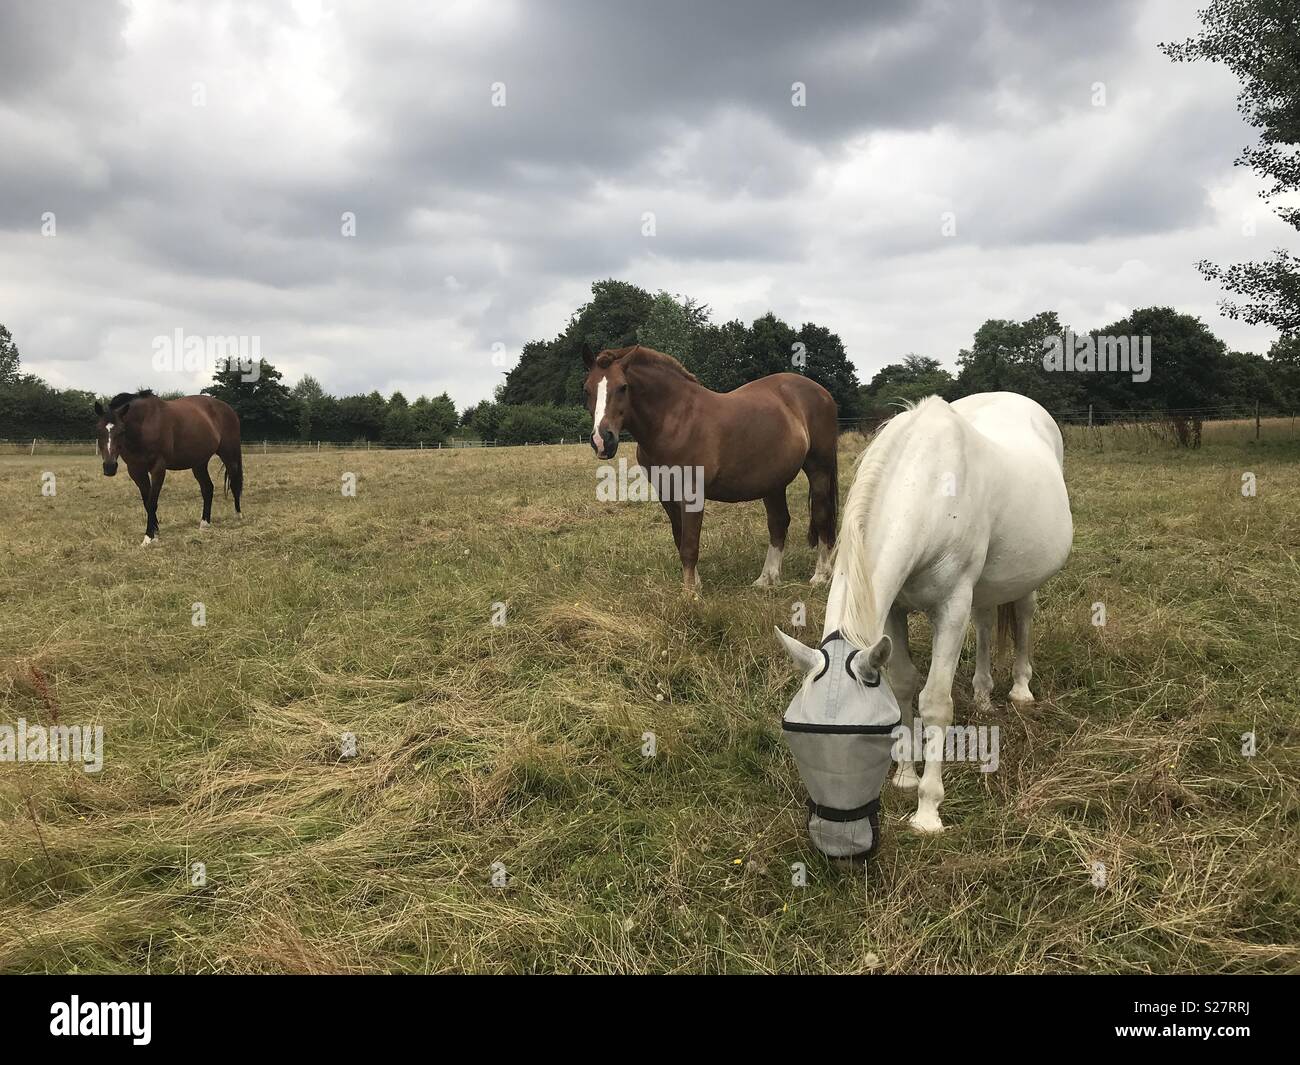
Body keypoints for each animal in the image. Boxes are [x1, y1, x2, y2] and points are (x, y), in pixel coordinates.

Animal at [94, 390, 244, 545]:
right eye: (98, 430)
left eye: (122, 431)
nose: (109, 467)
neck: (145, 424)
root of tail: (228, 409)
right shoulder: (136, 470)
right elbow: (146, 502)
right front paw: (155, 532)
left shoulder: (158, 468)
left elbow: (152, 502)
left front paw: (148, 537)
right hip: (199, 463)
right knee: (207, 488)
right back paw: (204, 523)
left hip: (229, 455)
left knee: (234, 483)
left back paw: (237, 516)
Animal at [582, 345, 840, 591]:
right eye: (587, 389)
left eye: (623, 387)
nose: (602, 440)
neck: (675, 419)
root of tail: (823, 393)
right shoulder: (666, 494)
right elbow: (680, 538)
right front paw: (694, 584)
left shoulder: (692, 493)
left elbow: (689, 545)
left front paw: (690, 595)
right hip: (773, 481)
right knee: (778, 522)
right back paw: (767, 579)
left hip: (819, 469)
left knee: (821, 515)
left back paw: (820, 576)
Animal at [775, 392, 1073, 859]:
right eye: (797, 738)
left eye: (864, 740)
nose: (838, 844)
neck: (930, 488)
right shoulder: (893, 612)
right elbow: (902, 687)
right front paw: (904, 776)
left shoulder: (950, 608)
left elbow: (934, 702)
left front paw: (927, 810)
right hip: (982, 588)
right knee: (985, 622)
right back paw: (983, 695)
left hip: (1022, 580)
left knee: (1023, 614)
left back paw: (1021, 689)